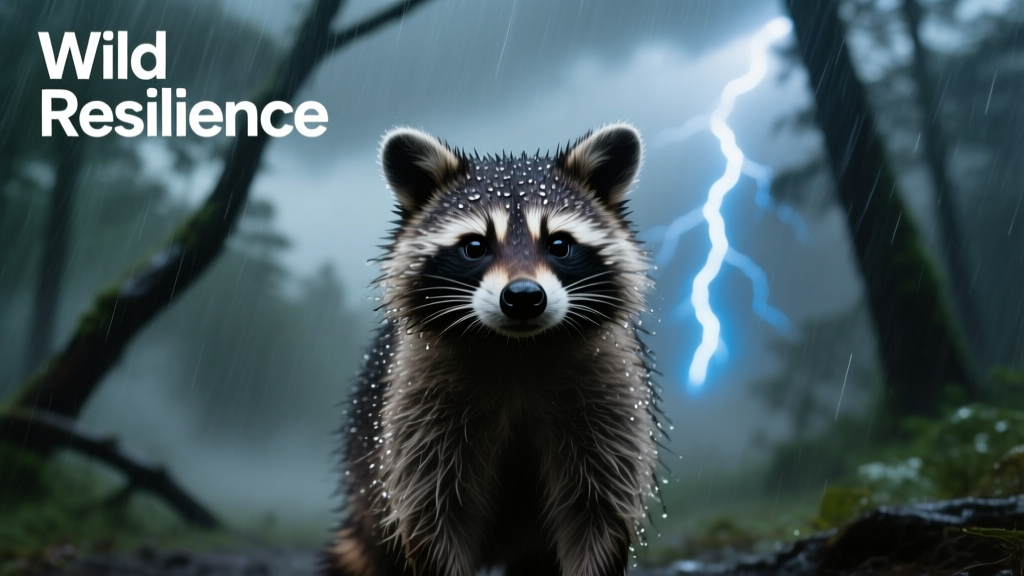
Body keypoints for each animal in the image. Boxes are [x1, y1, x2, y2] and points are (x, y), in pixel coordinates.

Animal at [324, 124, 663, 576]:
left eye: (559, 244)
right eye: (474, 246)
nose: (523, 297)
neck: (517, 349)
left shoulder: (610, 391)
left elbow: (596, 509)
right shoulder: (417, 403)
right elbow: (433, 511)